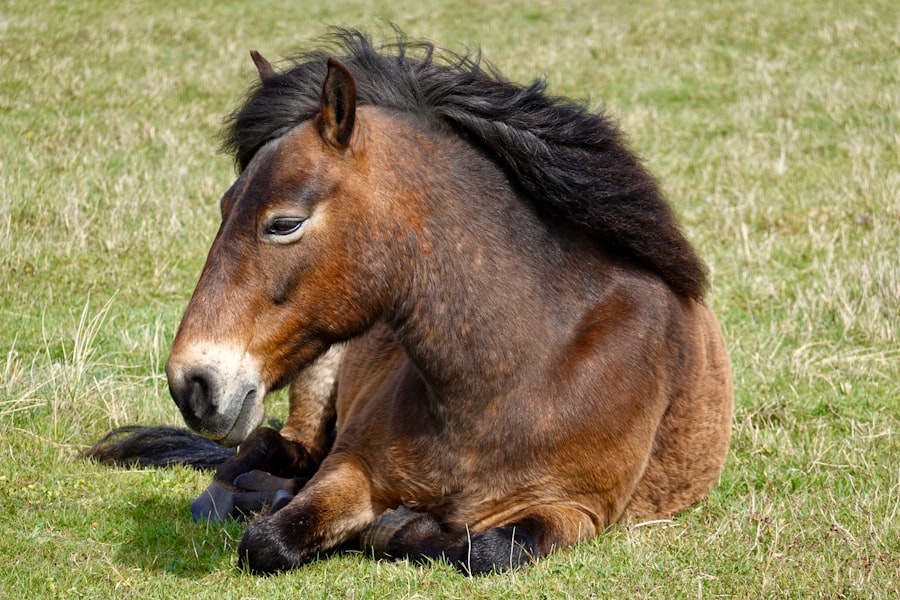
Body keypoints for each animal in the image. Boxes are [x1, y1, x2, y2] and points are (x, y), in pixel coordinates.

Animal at [91, 29, 733, 575]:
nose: (192, 384)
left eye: (284, 223)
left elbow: (490, 549)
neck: (525, 371)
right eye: (226, 207)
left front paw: (399, 527)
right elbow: (270, 539)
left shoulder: (578, 510)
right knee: (262, 452)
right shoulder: (351, 466)